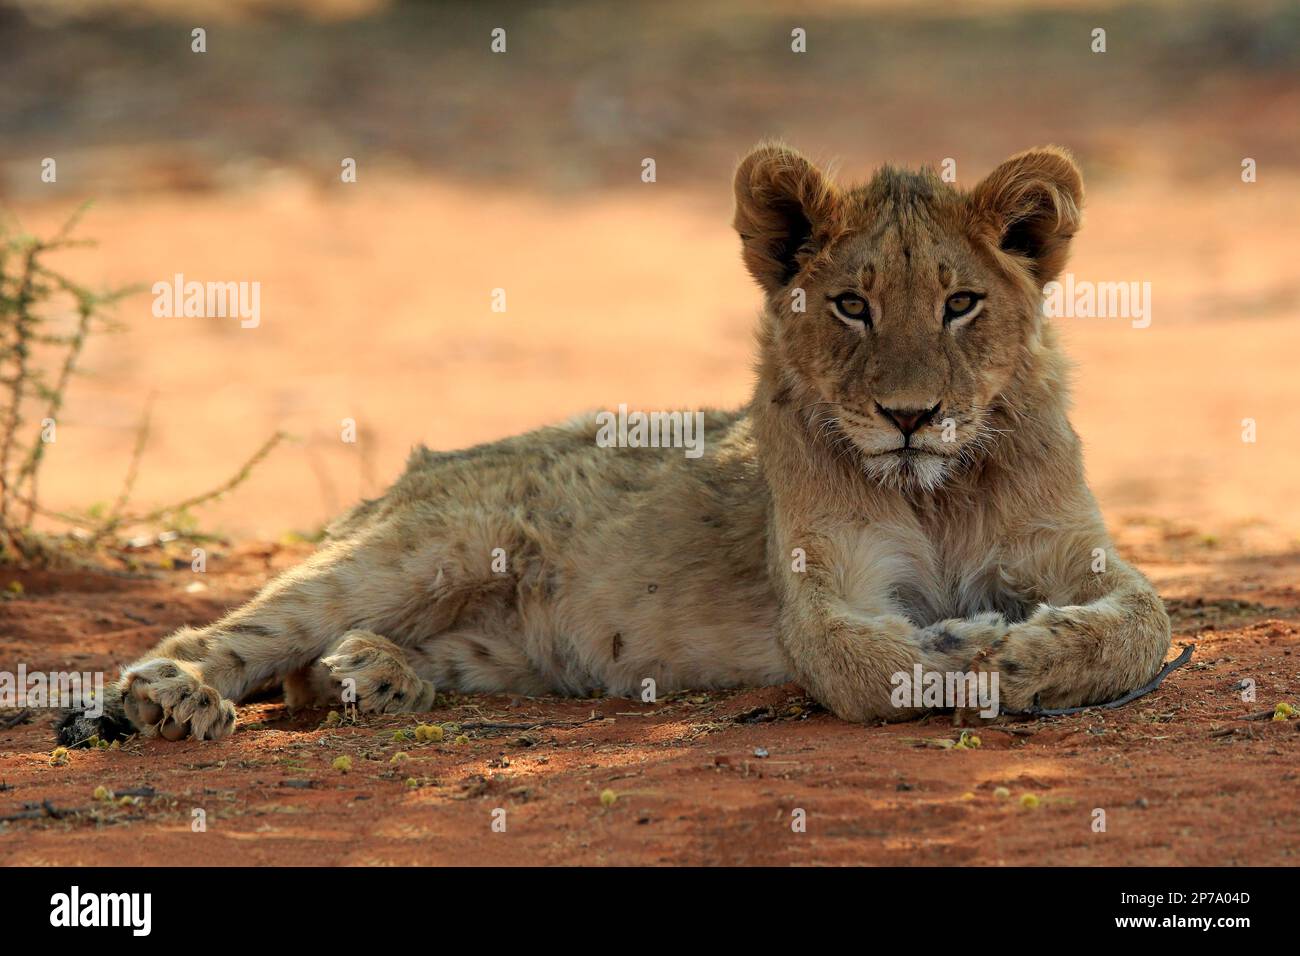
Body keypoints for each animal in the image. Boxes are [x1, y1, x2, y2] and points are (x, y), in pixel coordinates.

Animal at [59, 143, 1171, 745]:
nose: (909, 416)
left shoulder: (1078, 555)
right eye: (851, 305)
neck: (940, 488)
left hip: (495, 649)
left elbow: (1143, 625)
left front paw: (1024, 652)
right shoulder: (823, 589)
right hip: (417, 548)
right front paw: (966, 652)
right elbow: (869, 662)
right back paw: (166, 703)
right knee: (225, 634)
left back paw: (367, 675)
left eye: (960, 303)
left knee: (311, 668)